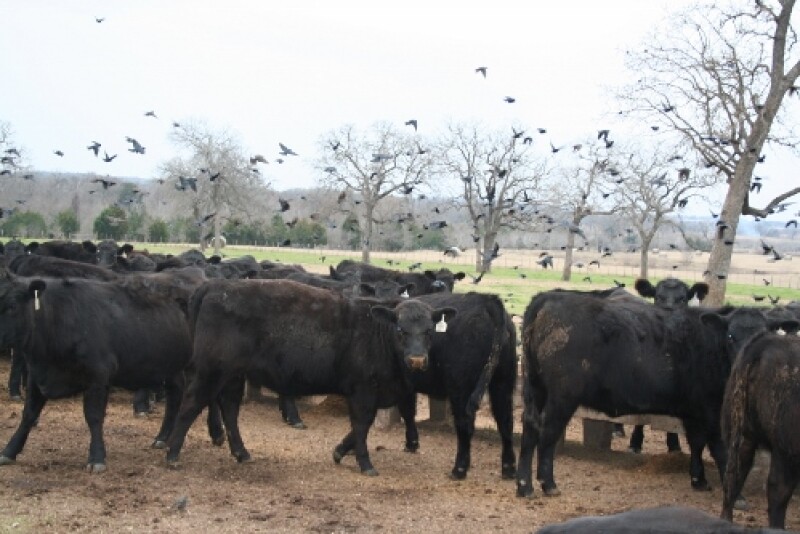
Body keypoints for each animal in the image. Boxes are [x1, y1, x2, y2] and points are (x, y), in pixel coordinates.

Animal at [0, 268, 215, 472]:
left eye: (12, 306)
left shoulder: (98, 375)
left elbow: (94, 417)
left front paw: (96, 458)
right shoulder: (36, 375)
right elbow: (28, 414)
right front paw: (9, 451)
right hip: (172, 368)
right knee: (175, 396)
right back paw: (163, 438)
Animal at [165, 279, 456, 476]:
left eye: (429, 330)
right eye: (400, 329)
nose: (417, 359)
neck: (377, 334)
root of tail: (216, 285)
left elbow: (360, 427)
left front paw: (339, 451)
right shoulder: (363, 390)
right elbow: (362, 425)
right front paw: (365, 463)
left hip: (233, 375)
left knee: (230, 408)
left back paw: (241, 452)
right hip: (211, 370)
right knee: (191, 405)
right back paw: (172, 453)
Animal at [396, 291, 517, 480]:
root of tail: (486, 300)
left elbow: (406, 410)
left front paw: (411, 443)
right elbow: (408, 410)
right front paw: (412, 443)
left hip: (461, 388)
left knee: (465, 424)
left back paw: (459, 469)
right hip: (503, 382)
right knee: (505, 421)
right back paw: (508, 468)